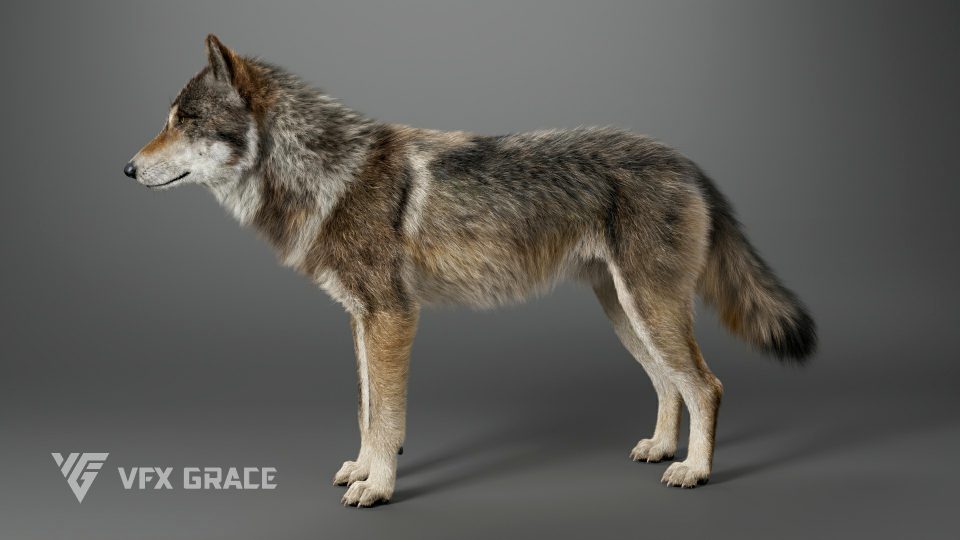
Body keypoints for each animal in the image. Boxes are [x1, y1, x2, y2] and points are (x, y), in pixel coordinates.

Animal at [124, 35, 816, 507]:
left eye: (185, 122)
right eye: (168, 120)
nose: (127, 169)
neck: (326, 176)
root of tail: (688, 162)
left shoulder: (392, 318)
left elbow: (387, 419)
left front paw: (377, 488)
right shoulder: (361, 320)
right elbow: (367, 411)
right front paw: (361, 469)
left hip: (648, 309)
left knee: (707, 386)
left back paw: (694, 471)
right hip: (626, 315)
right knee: (670, 385)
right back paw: (661, 450)